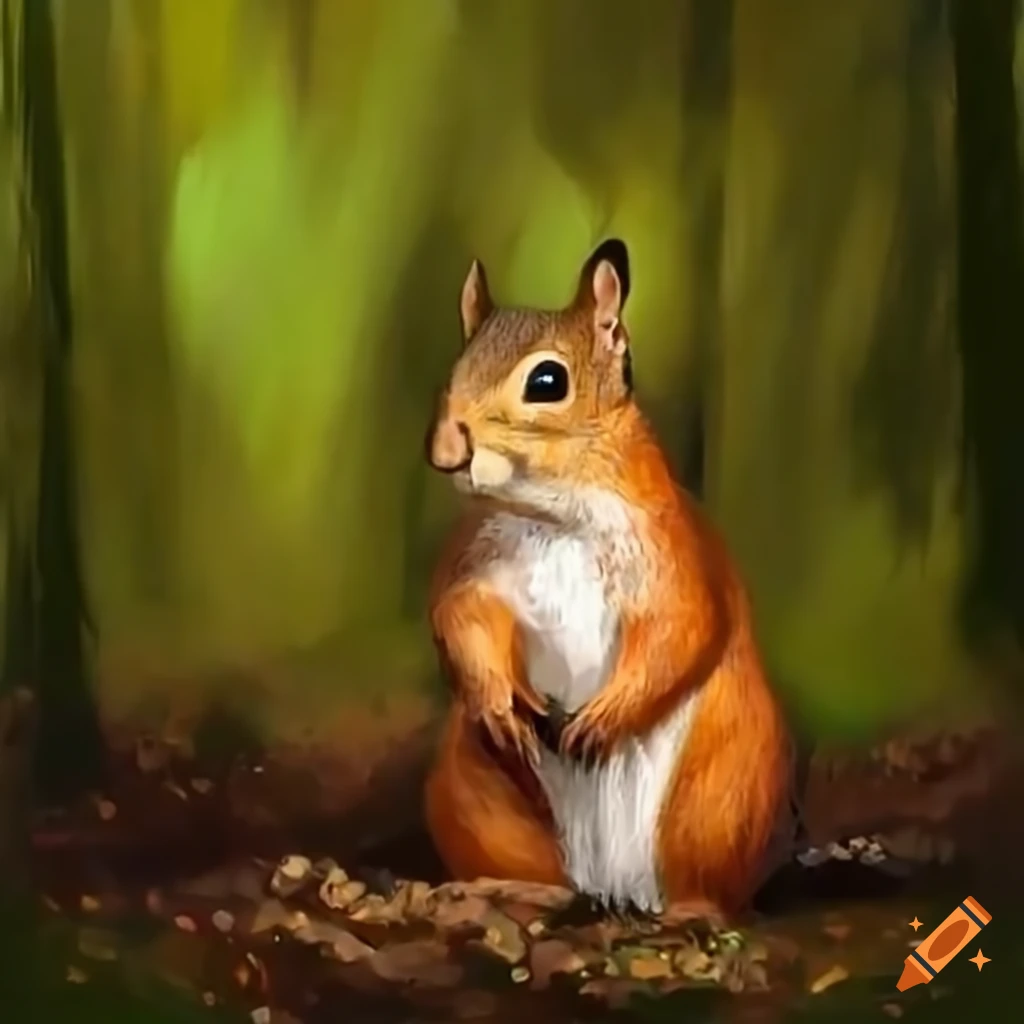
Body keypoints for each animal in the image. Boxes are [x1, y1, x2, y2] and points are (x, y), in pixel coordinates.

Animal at [422, 239, 792, 917]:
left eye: (547, 381)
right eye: (457, 362)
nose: (445, 452)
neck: (554, 517)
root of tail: (616, 888)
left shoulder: (670, 557)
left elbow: (682, 628)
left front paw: (603, 721)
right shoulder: (473, 567)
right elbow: (460, 620)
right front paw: (496, 704)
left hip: (721, 800)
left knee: (704, 882)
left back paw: (693, 910)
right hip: (479, 801)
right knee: (544, 875)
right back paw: (510, 888)